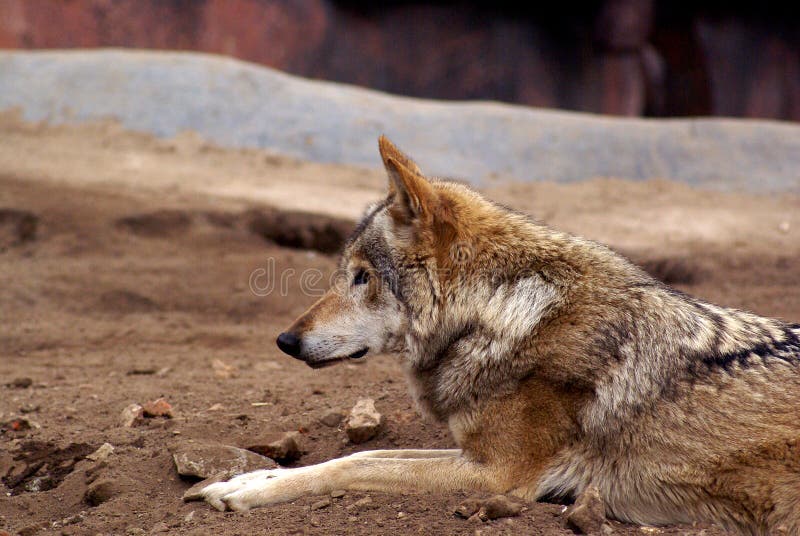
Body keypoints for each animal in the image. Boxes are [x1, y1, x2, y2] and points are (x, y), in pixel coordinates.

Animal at [196, 136, 800, 534]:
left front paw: (246, 490)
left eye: (361, 277)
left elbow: (357, 462)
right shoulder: (473, 452)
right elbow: (360, 454)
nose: (285, 340)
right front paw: (252, 477)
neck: (500, 316)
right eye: (346, 273)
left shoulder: (499, 475)